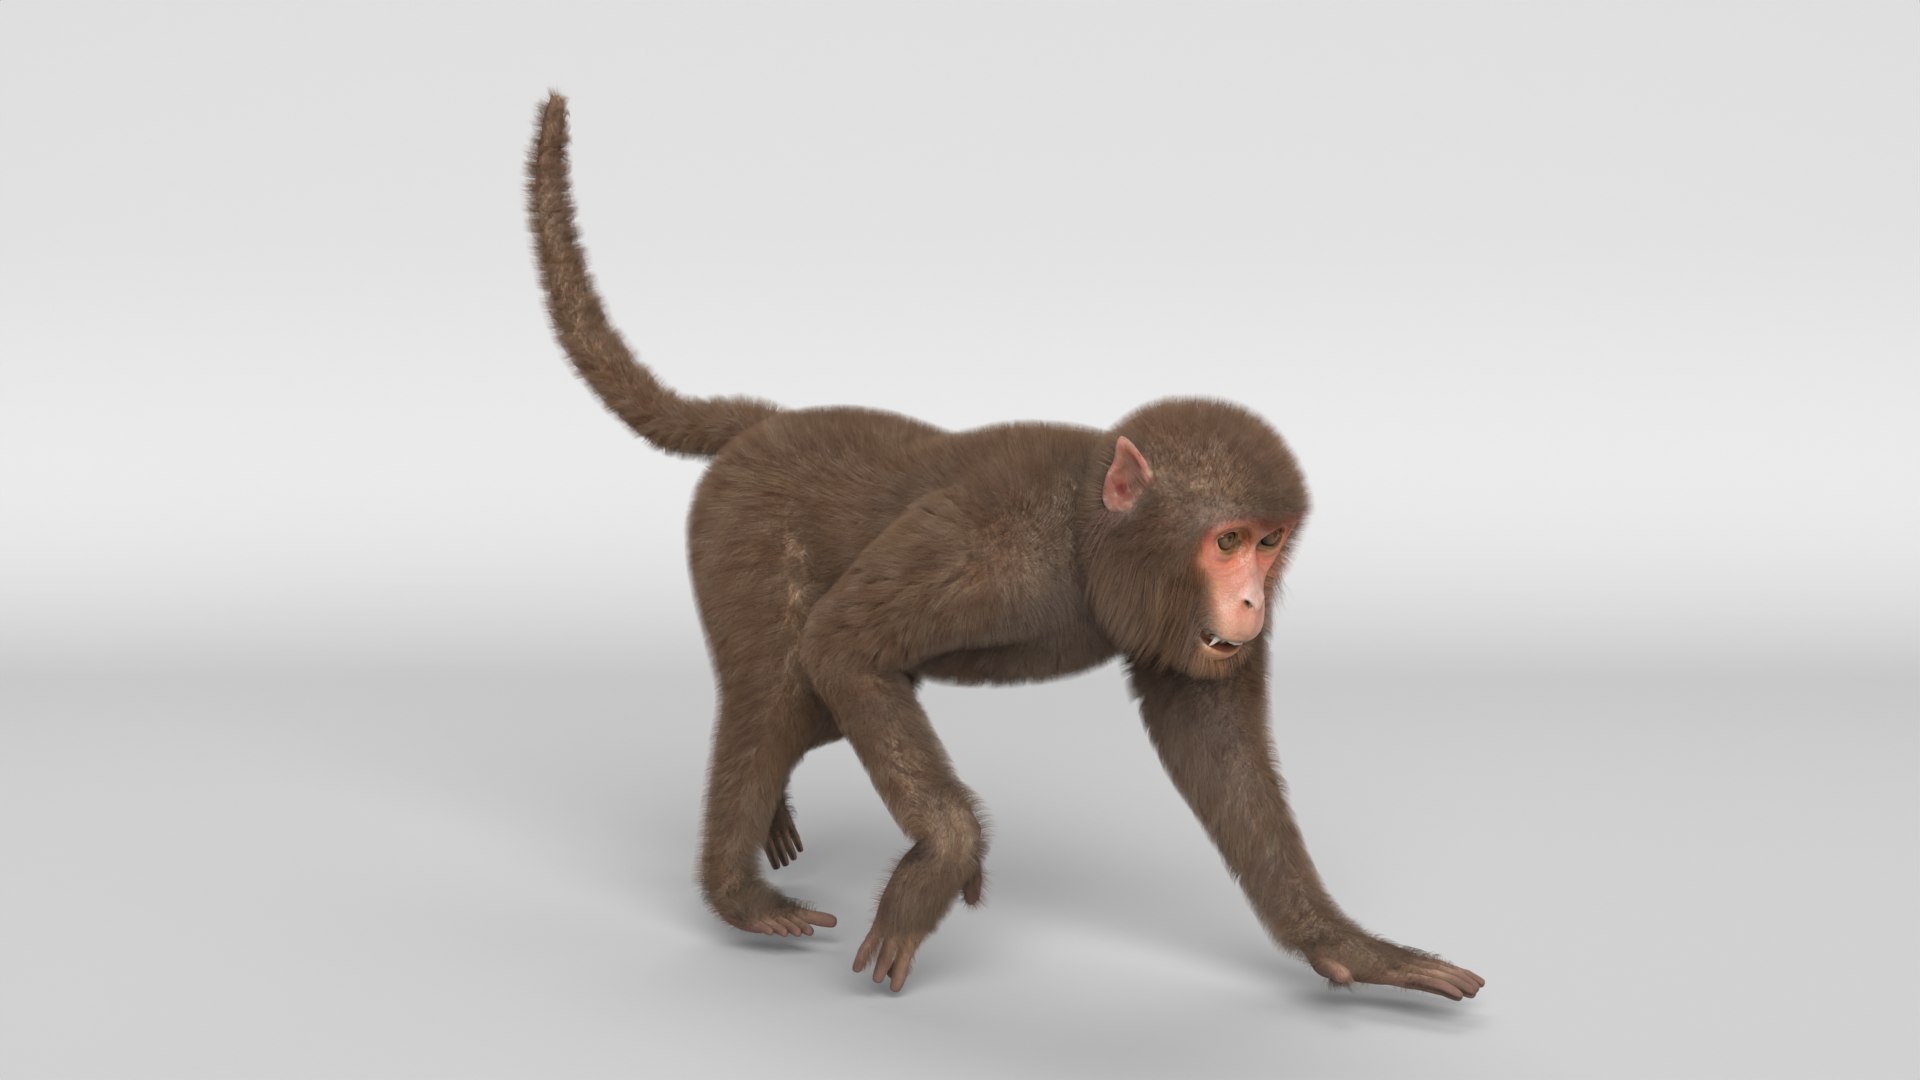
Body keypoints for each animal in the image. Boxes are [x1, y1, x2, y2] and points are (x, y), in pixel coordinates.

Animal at [526, 93, 1484, 1001]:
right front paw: (943, 860)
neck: (1087, 533)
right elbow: (845, 642)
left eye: (1269, 543)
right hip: (738, 529)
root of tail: (761, 427)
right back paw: (738, 896)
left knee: (811, 708)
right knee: (783, 683)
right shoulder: (992, 553)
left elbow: (1214, 748)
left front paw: (1348, 947)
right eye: (1227, 541)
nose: (1251, 597)